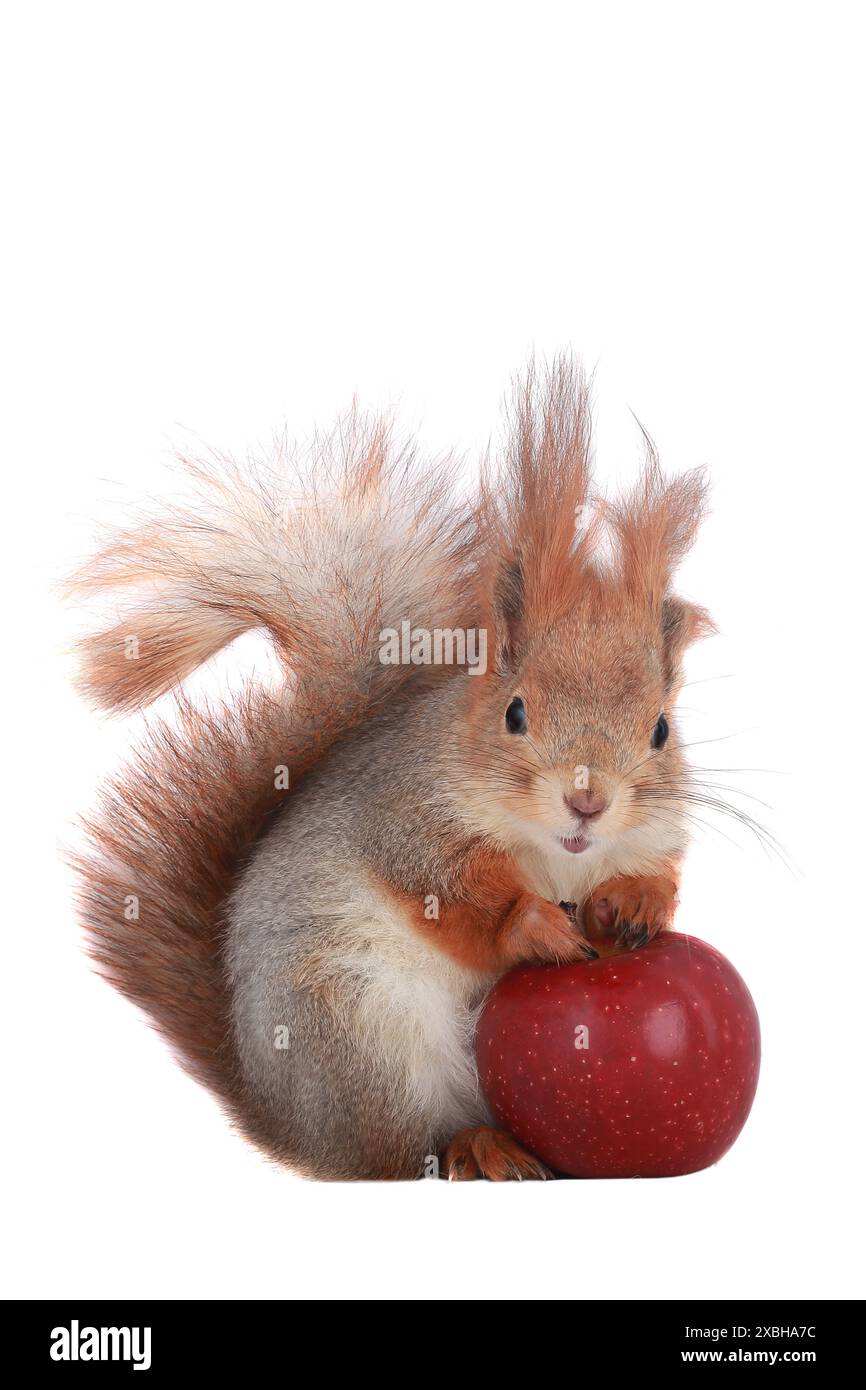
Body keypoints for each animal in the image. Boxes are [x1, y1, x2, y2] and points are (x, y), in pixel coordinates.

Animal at [68, 357, 713, 1181]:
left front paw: (636, 903)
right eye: (515, 712)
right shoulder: (405, 817)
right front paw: (533, 922)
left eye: (661, 730)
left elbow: (660, 873)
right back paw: (480, 1145)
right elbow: (452, 889)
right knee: (403, 1149)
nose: (588, 801)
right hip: (362, 1035)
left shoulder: (652, 831)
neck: (559, 854)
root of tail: (287, 1123)